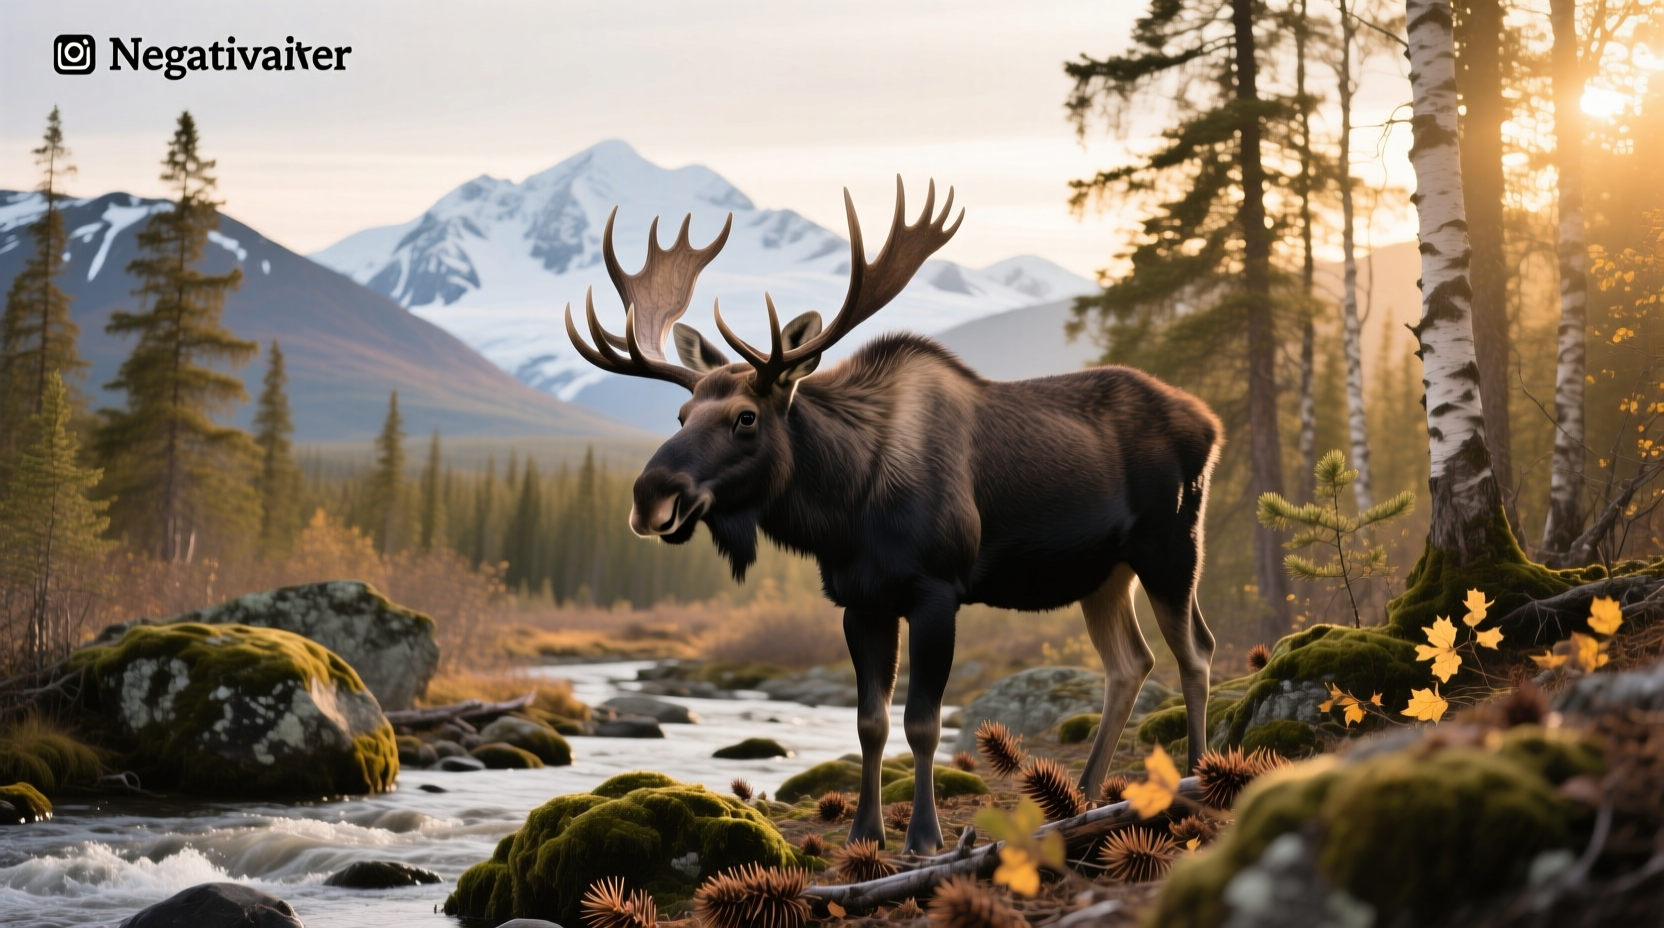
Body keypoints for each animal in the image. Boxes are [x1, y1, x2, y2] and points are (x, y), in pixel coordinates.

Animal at [564, 179, 1220, 855]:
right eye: (681, 415)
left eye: (745, 417)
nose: (650, 496)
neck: (845, 509)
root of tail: (1210, 421)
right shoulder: (860, 601)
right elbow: (870, 723)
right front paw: (865, 832)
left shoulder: (936, 590)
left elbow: (922, 723)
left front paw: (923, 837)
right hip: (1104, 573)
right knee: (1129, 663)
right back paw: (1086, 797)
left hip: (1172, 545)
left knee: (1196, 650)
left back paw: (1198, 777)